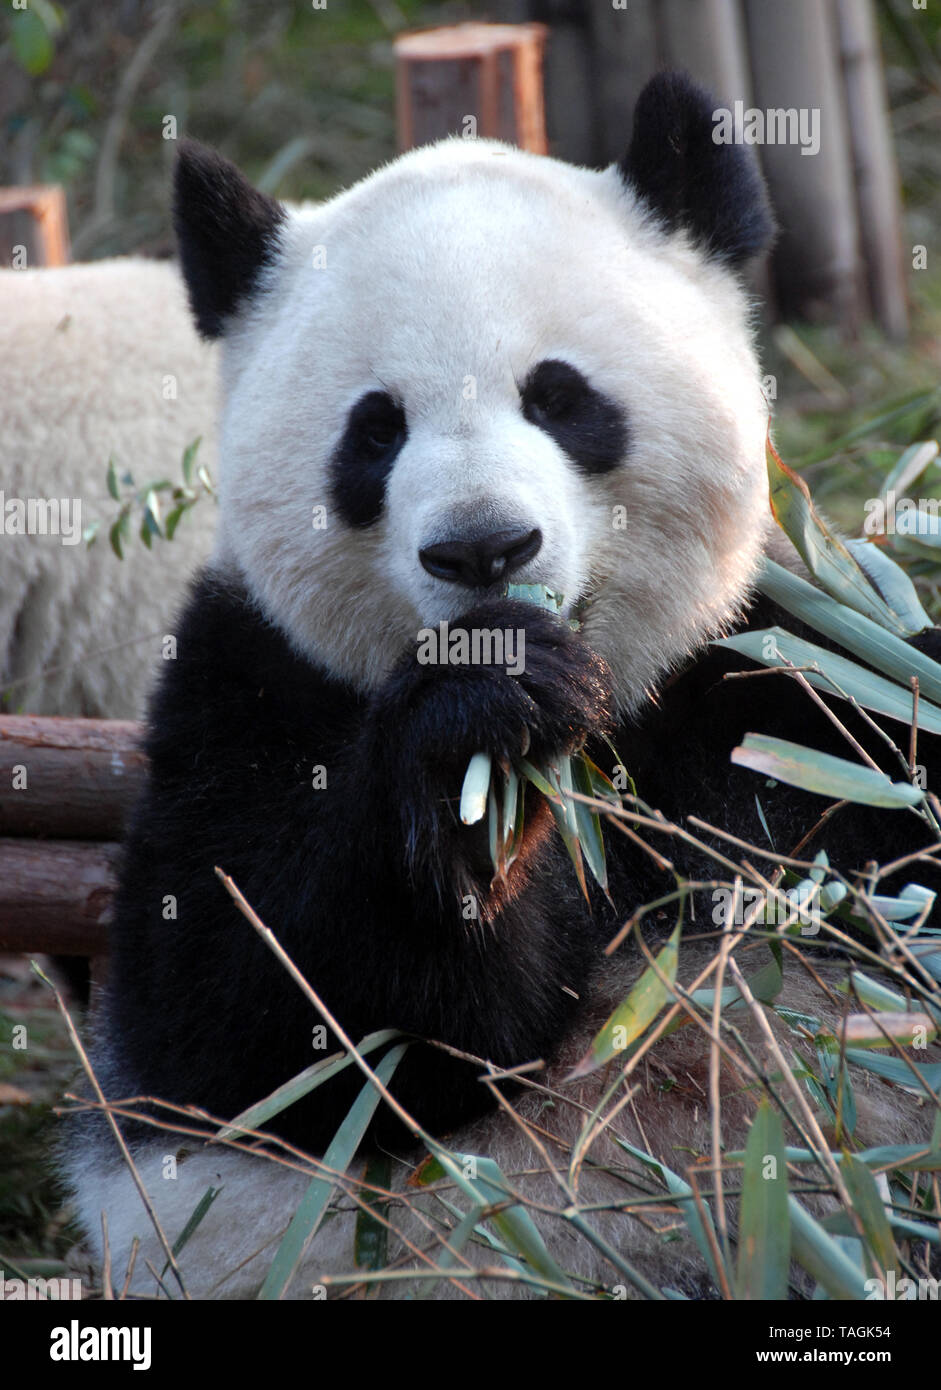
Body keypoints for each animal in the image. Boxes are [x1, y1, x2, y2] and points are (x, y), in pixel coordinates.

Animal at [63, 72, 941, 1300]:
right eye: (374, 428)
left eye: (560, 396)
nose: (483, 548)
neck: (600, 717)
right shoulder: (244, 687)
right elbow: (279, 1038)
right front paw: (473, 743)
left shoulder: (782, 674)